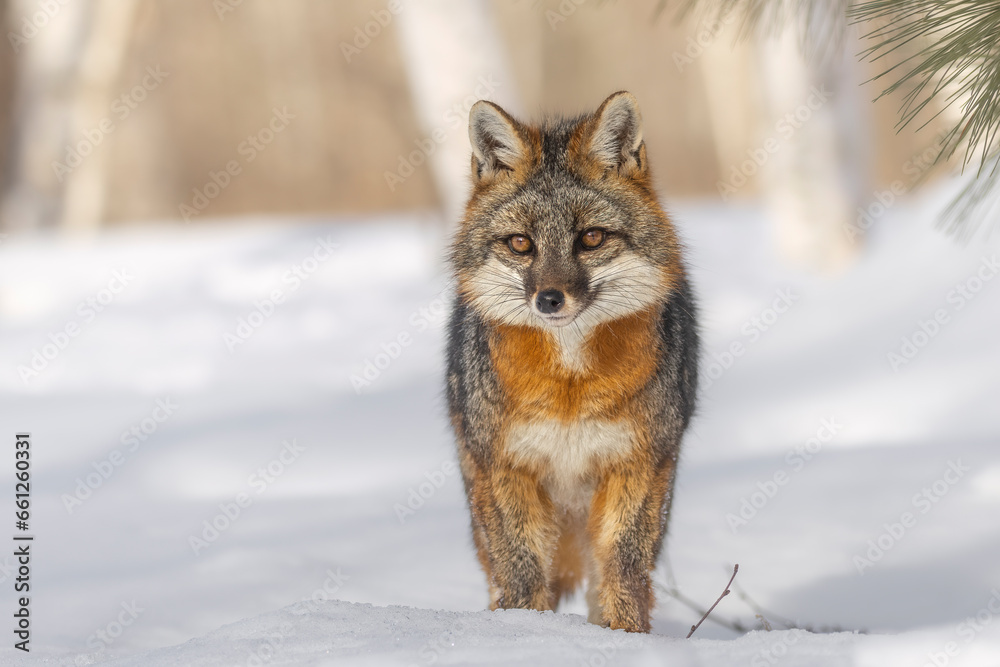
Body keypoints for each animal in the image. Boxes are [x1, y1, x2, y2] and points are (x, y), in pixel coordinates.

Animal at [445, 91, 699, 633]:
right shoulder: (506, 468)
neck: (569, 391)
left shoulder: (638, 465)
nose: (549, 299)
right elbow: (521, 572)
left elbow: (623, 569)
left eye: (591, 238)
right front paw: (525, 631)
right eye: (521, 243)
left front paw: (624, 637)